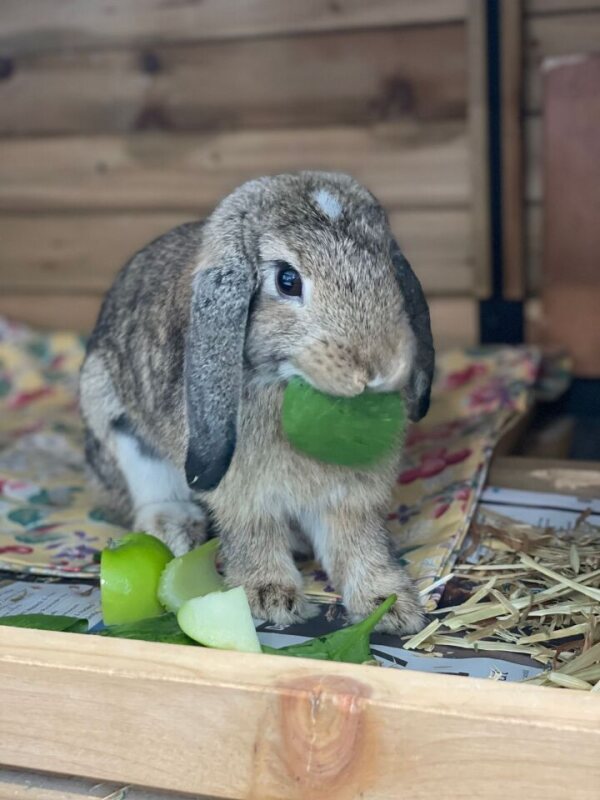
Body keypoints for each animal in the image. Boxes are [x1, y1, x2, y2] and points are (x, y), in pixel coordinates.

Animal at [80, 171, 434, 633]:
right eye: (287, 280)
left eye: (387, 269)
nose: (379, 368)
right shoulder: (243, 494)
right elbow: (254, 533)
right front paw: (270, 598)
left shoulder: (351, 500)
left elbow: (357, 542)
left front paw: (391, 604)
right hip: (113, 421)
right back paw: (176, 528)